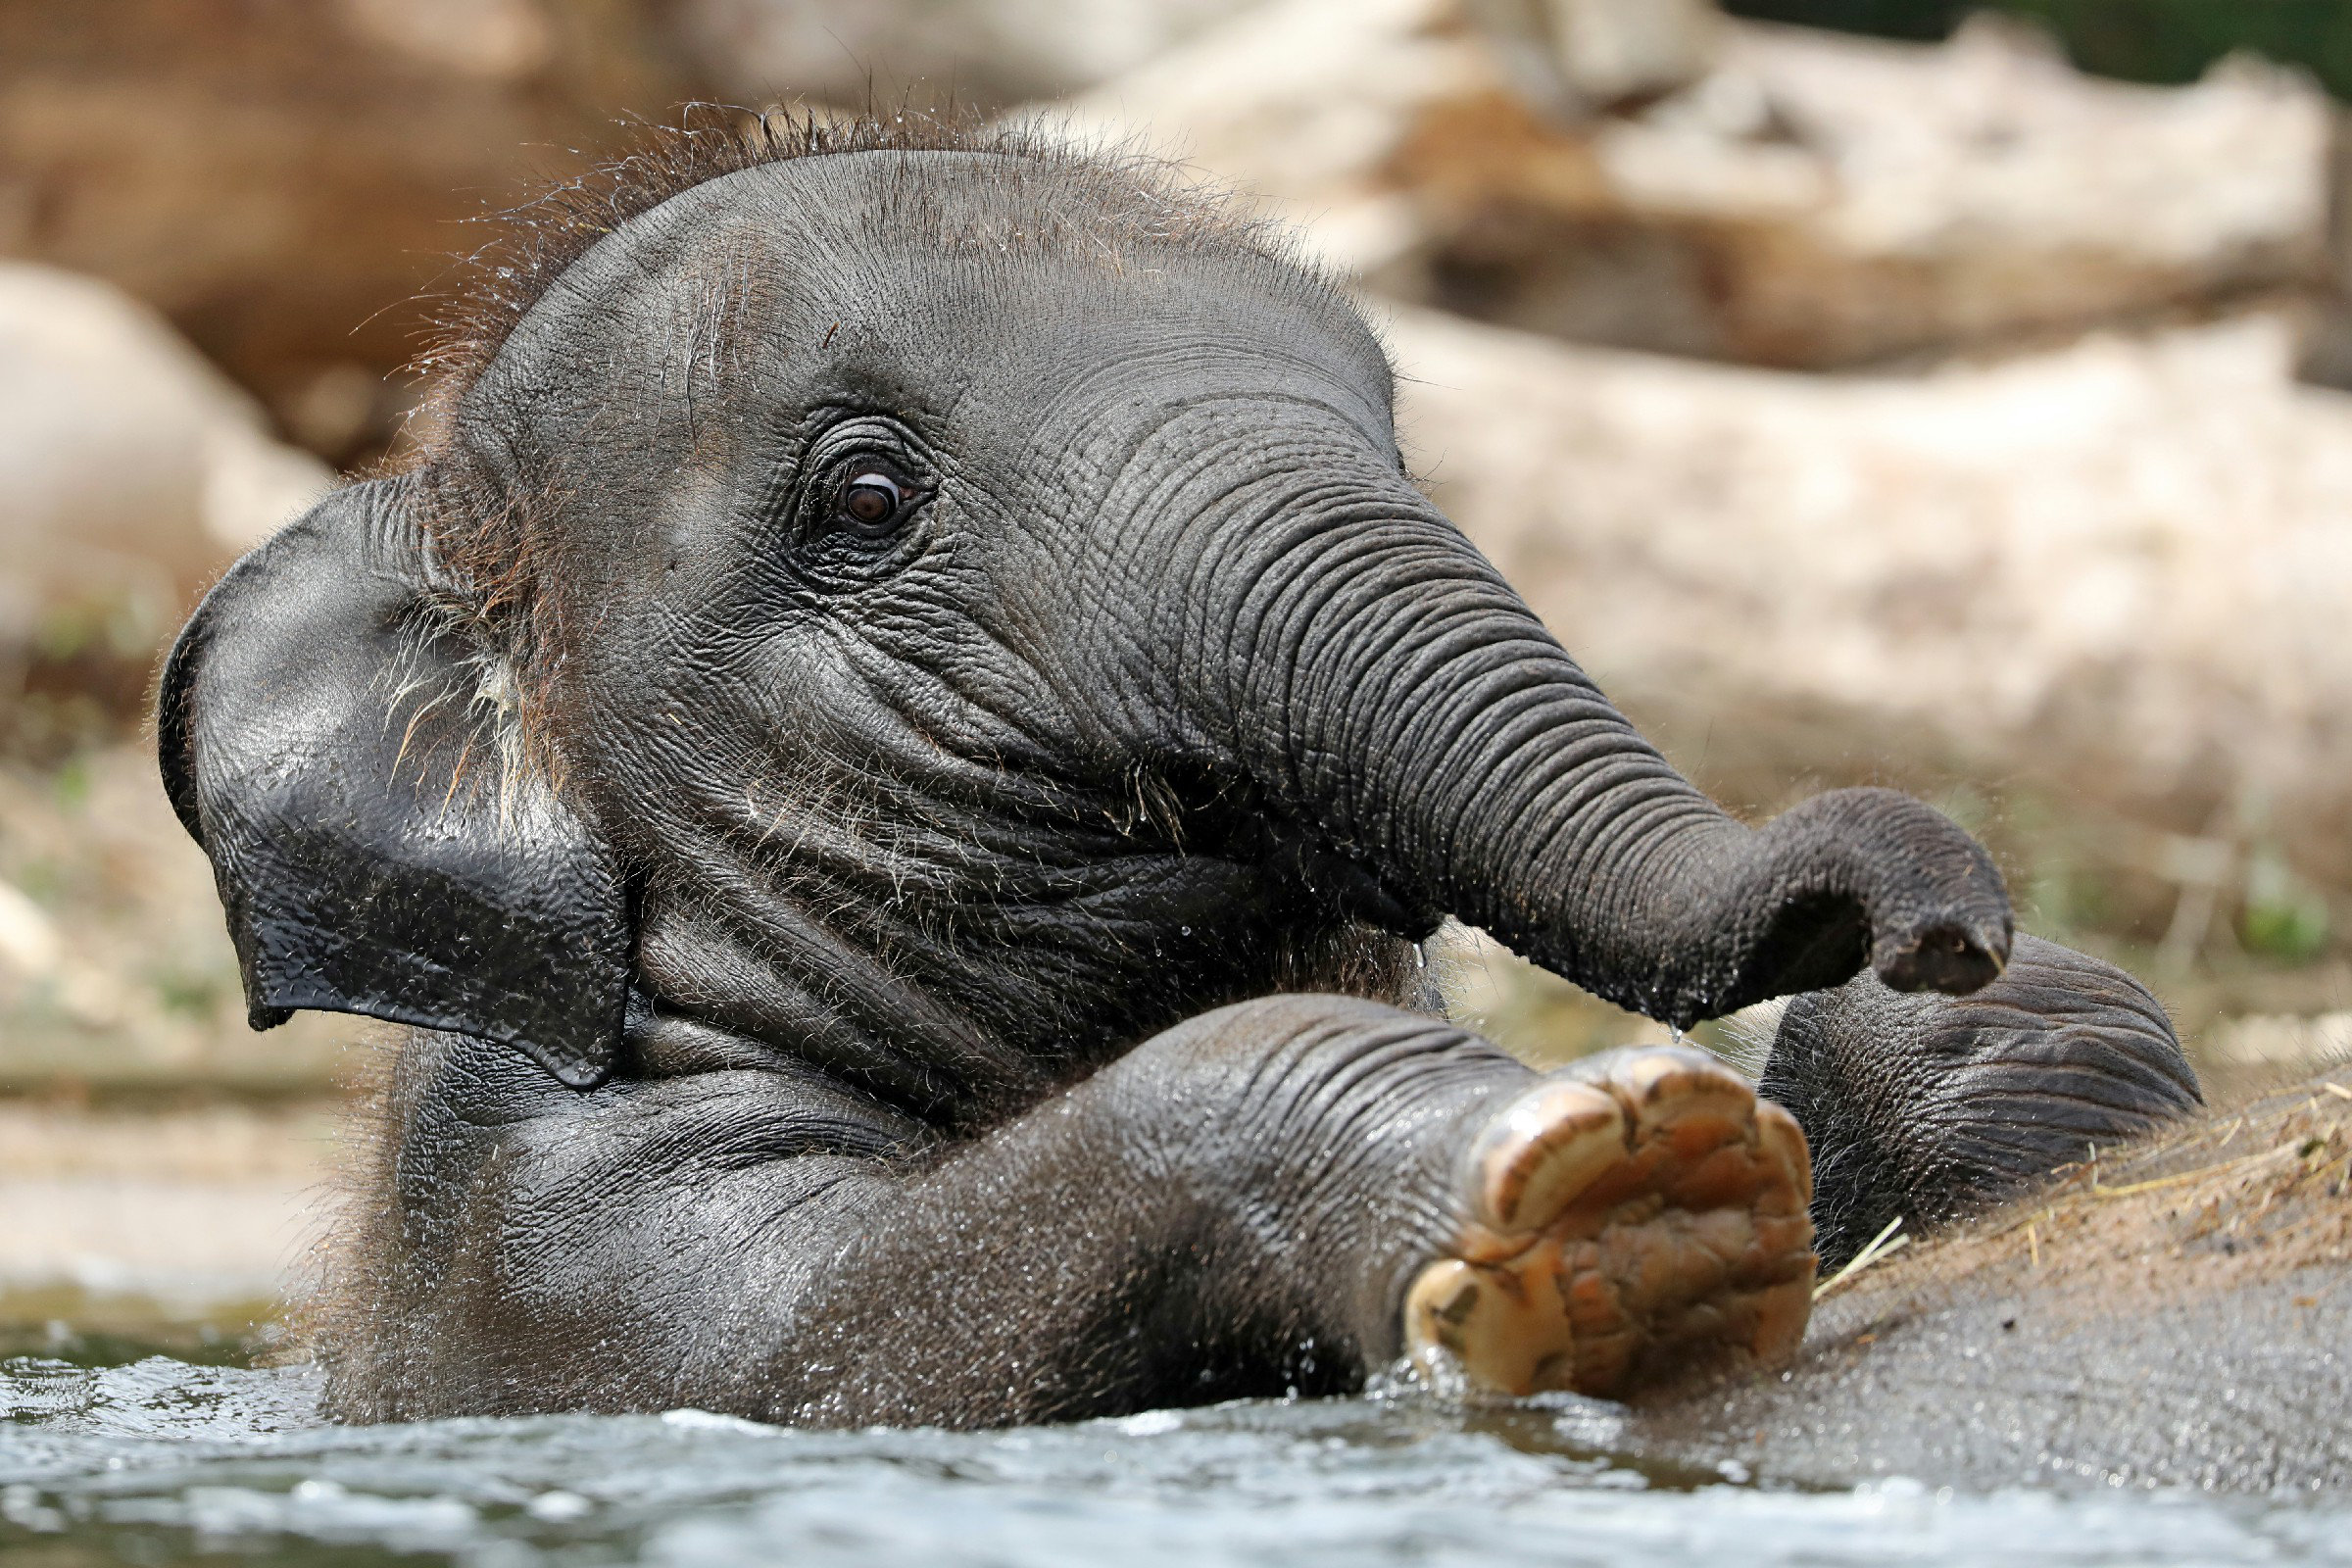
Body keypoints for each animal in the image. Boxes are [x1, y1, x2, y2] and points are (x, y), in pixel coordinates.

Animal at [158, 114, 2202, 1433]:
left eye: (1398, 433)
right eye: (868, 499)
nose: (1930, 913)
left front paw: (1996, 1044)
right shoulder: (566, 1262)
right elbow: (851, 1354)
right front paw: (1623, 1197)